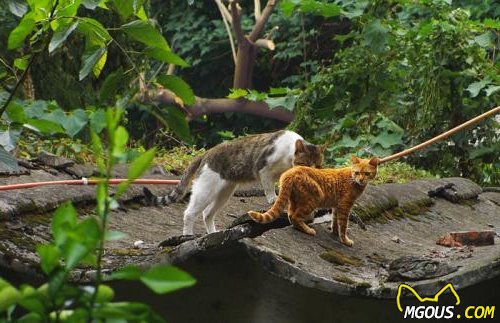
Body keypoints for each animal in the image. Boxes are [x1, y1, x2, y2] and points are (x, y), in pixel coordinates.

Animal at [145, 130, 324, 237]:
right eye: (306, 163)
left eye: (318, 165)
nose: (313, 171)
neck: (288, 155)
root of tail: (206, 153)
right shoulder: (263, 169)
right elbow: (268, 187)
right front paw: (273, 199)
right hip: (206, 189)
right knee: (189, 213)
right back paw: (188, 235)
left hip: (225, 192)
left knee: (207, 214)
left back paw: (212, 234)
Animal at [248, 157, 376, 248]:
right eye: (357, 172)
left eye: (367, 173)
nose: (361, 179)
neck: (352, 180)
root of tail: (290, 172)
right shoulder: (344, 206)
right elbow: (343, 225)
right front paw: (345, 240)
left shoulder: (336, 206)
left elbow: (335, 221)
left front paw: (335, 233)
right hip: (315, 199)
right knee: (295, 216)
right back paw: (308, 230)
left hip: (295, 199)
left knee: (290, 215)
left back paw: (301, 227)